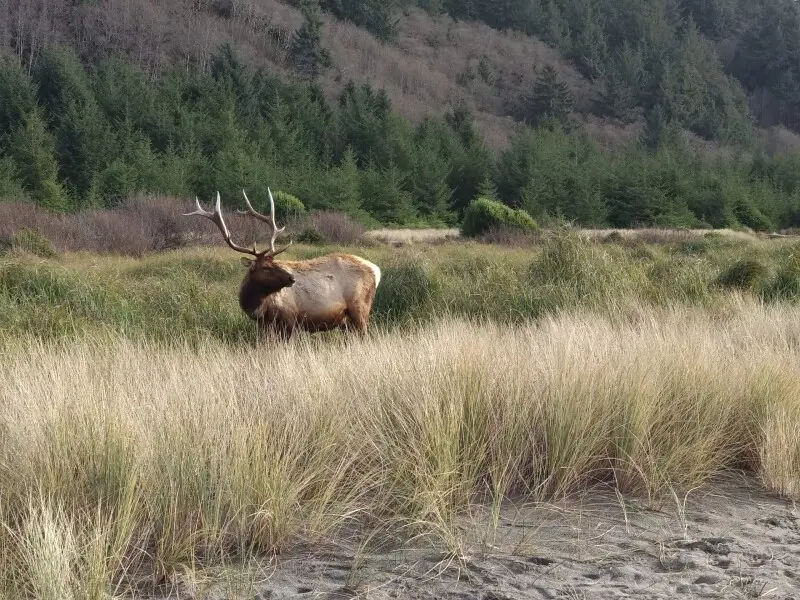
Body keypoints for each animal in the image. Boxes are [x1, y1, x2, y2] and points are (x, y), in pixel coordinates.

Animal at [184, 189, 381, 338]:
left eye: (276, 263)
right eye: (266, 267)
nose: (292, 278)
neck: (258, 308)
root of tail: (376, 270)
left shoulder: (290, 319)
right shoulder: (265, 326)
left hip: (360, 308)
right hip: (346, 320)